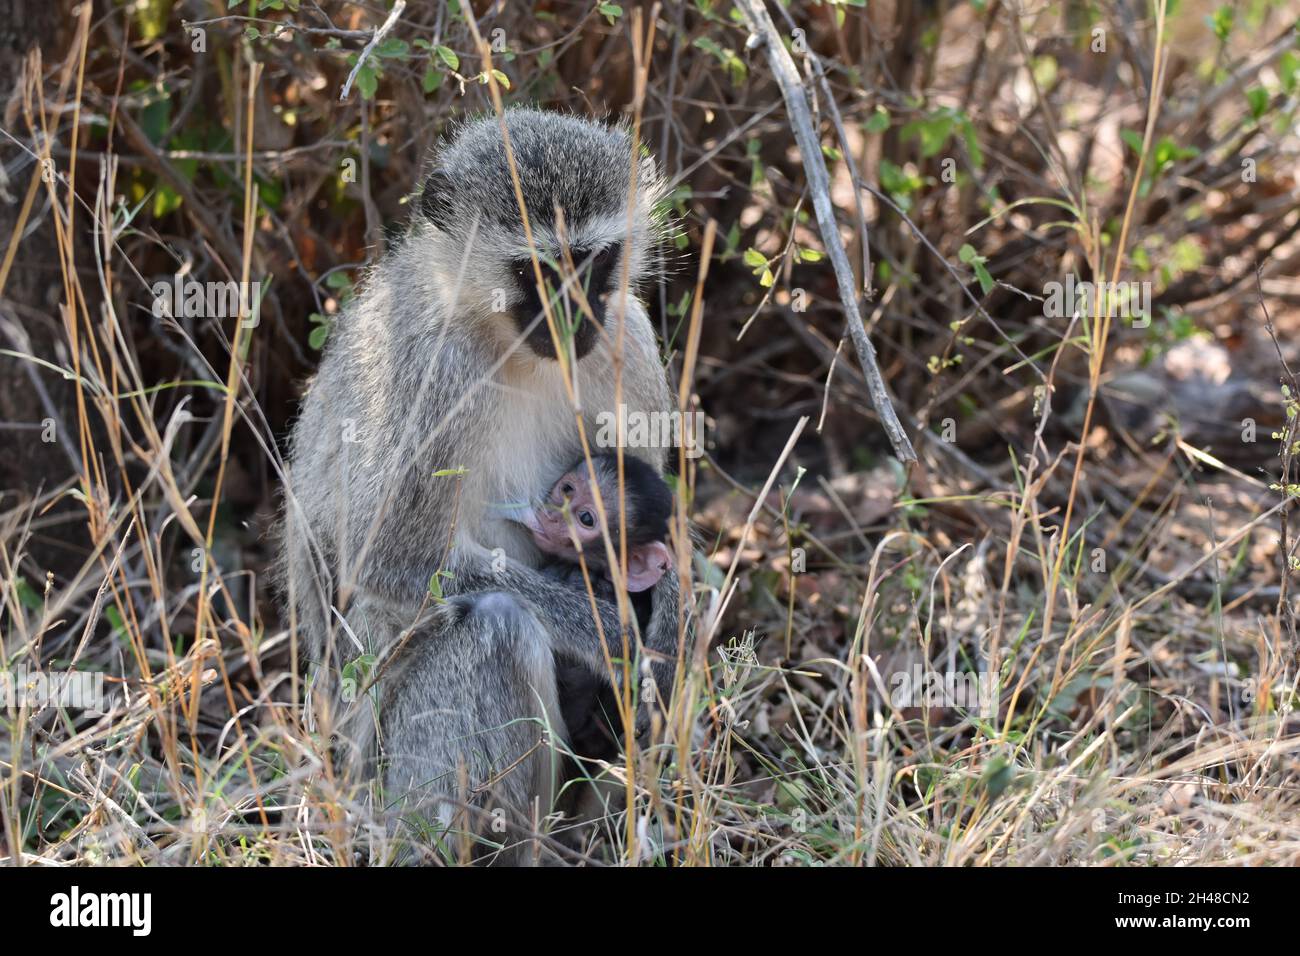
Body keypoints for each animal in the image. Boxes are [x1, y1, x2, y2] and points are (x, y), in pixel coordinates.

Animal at [279, 108, 688, 863]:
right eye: (537, 269)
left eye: (594, 261)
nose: (573, 318)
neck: (506, 342)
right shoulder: (430, 373)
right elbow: (390, 561)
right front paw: (611, 631)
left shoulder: (627, 336)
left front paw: (668, 621)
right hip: (383, 769)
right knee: (496, 625)